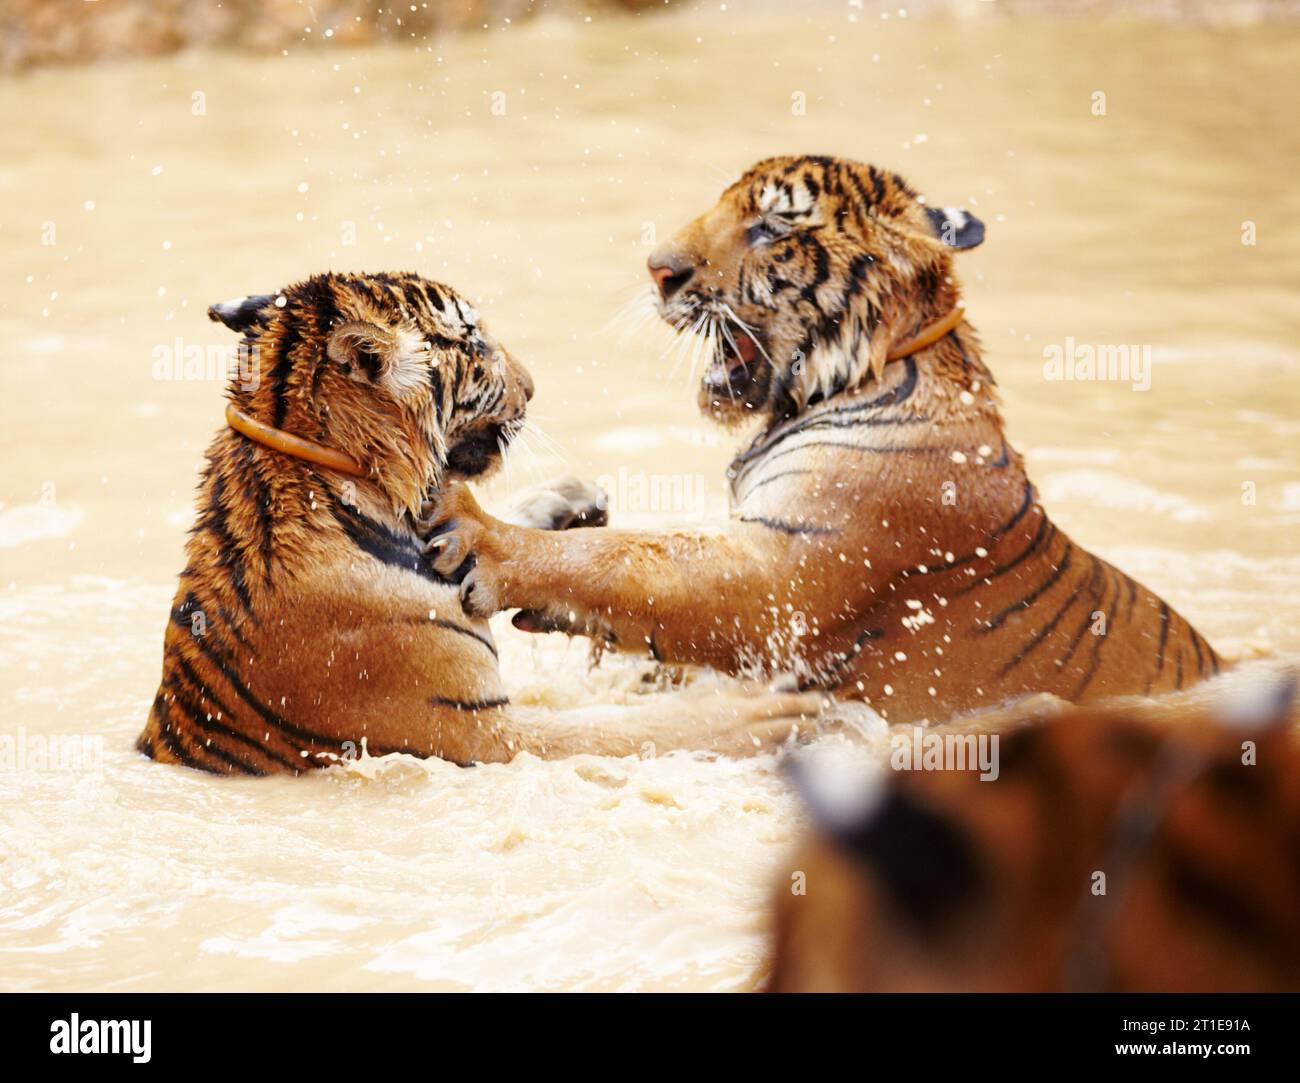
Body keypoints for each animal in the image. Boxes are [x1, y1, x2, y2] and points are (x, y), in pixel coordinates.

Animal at [136, 271, 822, 775]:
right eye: (475, 344)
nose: (534, 387)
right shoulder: (478, 732)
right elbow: (617, 735)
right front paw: (767, 713)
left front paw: (576, 499)